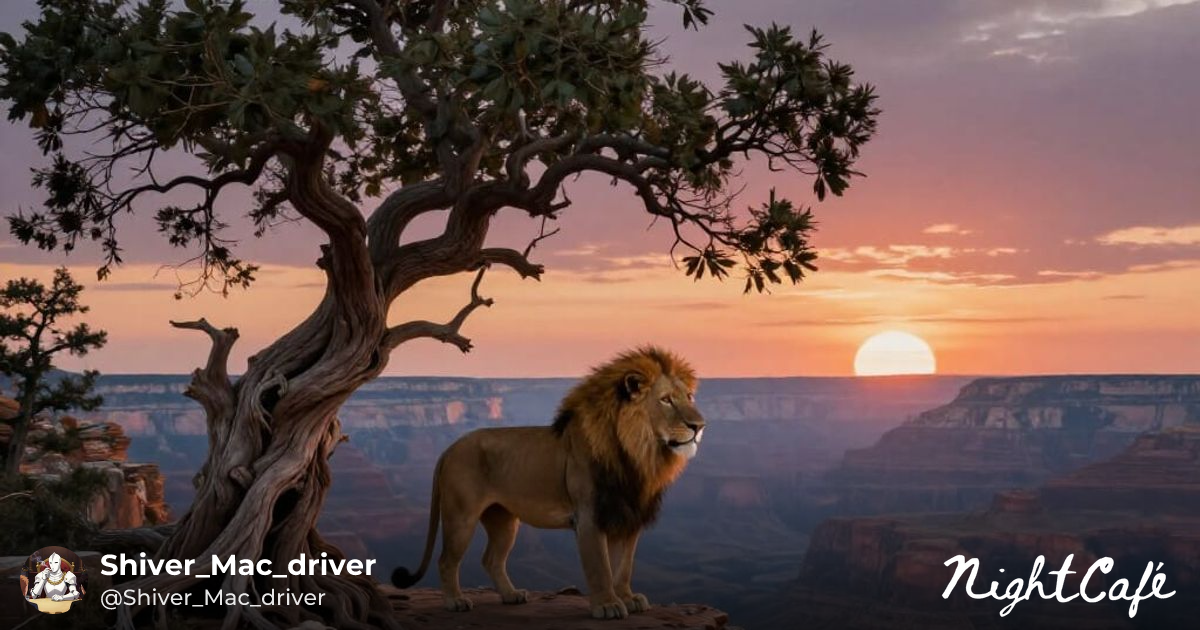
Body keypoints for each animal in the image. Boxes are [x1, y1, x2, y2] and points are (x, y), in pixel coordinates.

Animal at [391, 346, 706, 620]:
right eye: (666, 399)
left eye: (689, 396)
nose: (699, 426)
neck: (638, 456)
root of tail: (449, 448)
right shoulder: (590, 517)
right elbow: (601, 567)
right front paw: (607, 606)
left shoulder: (626, 516)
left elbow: (624, 565)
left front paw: (627, 598)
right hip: (461, 517)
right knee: (447, 560)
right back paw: (455, 601)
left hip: (503, 520)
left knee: (491, 559)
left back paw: (511, 595)